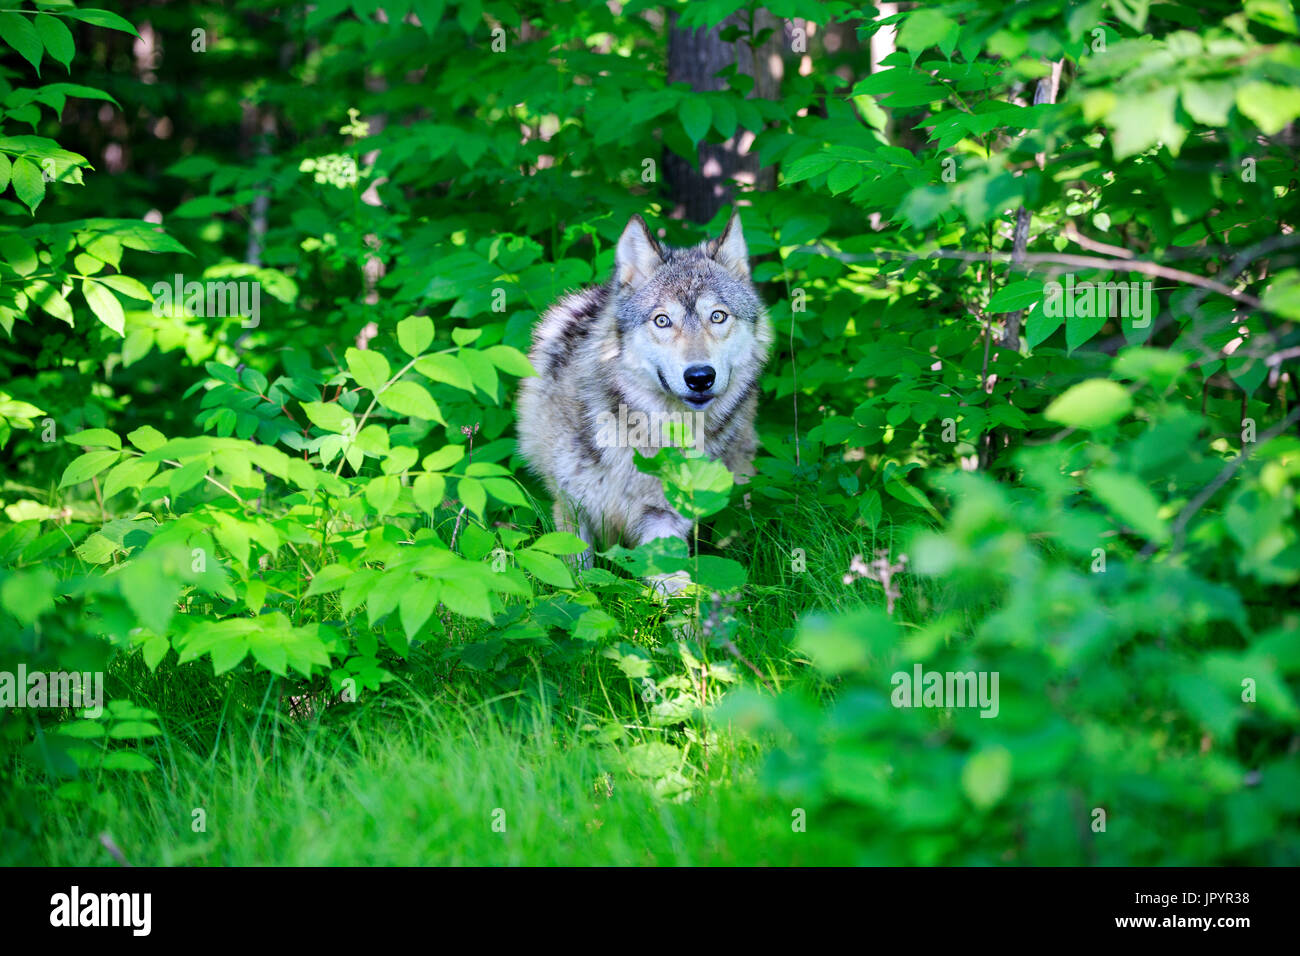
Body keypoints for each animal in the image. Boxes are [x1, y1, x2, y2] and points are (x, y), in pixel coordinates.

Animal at [516, 211, 773, 594]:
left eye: (718, 316)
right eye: (662, 320)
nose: (700, 376)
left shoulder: (662, 519)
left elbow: (679, 589)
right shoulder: (572, 509)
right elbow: (577, 585)